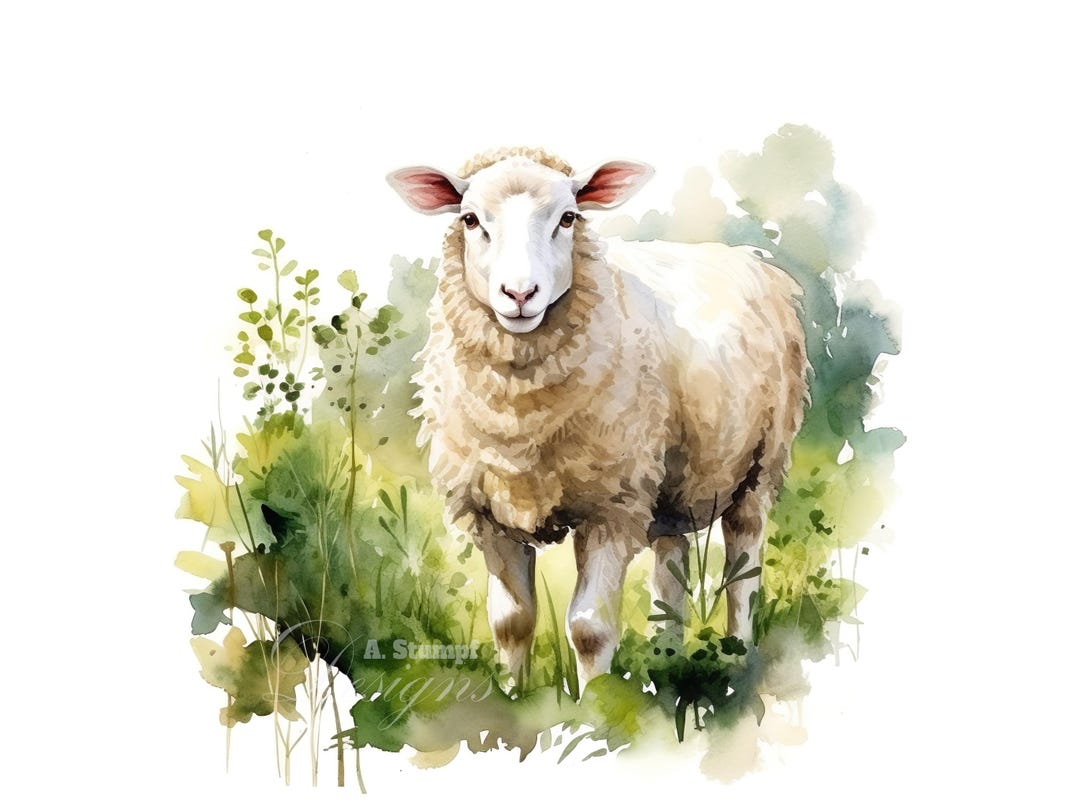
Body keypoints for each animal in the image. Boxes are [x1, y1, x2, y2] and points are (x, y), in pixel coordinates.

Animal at [387, 146, 808, 683]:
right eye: (470, 219)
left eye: (568, 218)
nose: (519, 294)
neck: (523, 418)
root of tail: (750, 259)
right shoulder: (489, 510)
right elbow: (511, 622)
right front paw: (513, 692)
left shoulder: (611, 504)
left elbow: (590, 629)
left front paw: (596, 700)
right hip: (668, 477)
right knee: (671, 565)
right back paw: (664, 659)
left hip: (759, 466)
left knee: (743, 564)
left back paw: (737, 656)